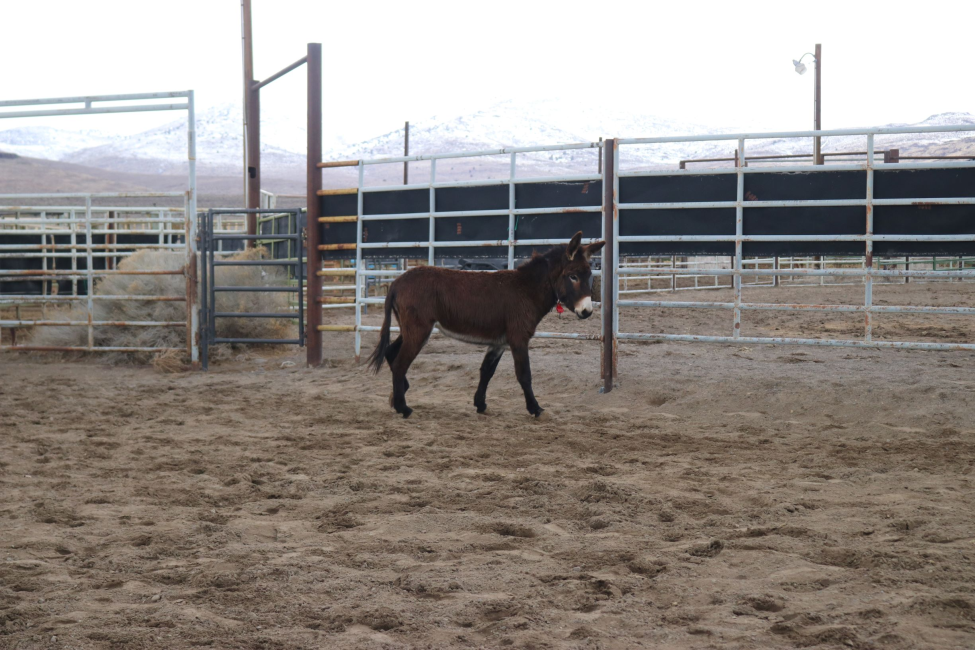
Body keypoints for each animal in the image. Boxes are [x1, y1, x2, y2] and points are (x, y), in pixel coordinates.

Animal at [367, 231, 606, 418]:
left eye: (589, 275)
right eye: (573, 276)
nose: (587, 311)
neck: (526, 289)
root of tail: (397, 282)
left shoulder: (499, 342)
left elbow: (486, 371)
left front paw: (480, 404)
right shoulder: (518, 338)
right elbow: (524, 374)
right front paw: (535, 408)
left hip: (411, 328)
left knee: (390, 352)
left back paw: (400, 394)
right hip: (419, 329)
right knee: (400, 362)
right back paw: (403, 408)